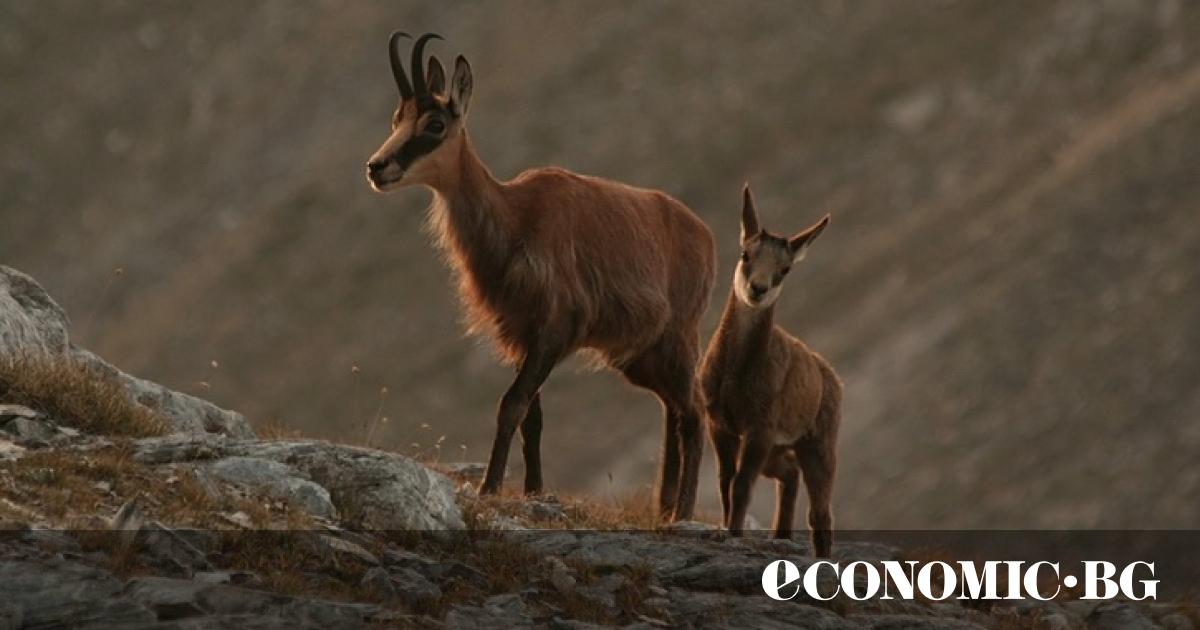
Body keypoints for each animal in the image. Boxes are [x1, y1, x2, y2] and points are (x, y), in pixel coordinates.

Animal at [365, 33, 716, 520]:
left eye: (435, 123)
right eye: (397, 118)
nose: (377, 167)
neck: (516, 217)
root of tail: (705, 236)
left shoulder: (554, 329)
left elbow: (511, 404)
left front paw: (491, 486)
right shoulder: (522, 333)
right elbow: (534, 416)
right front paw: (533, 490)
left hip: (678, 337)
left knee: (695, 410)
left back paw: (681, 511)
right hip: (640, 355)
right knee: (674, 406)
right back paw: (663, 506)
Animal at [699, 184, 840, 556]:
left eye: (785, 268)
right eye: (745, 253)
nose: (758, 289)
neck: (734, 373)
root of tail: (829, 374)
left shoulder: (759, 428)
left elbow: (741, 482)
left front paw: (733, 533)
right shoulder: (719, 424)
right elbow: (725, 479)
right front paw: (724, 528)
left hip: (817, 442)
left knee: (821, 513)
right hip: (777, 448)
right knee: (789, 472)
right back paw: (781, 534)